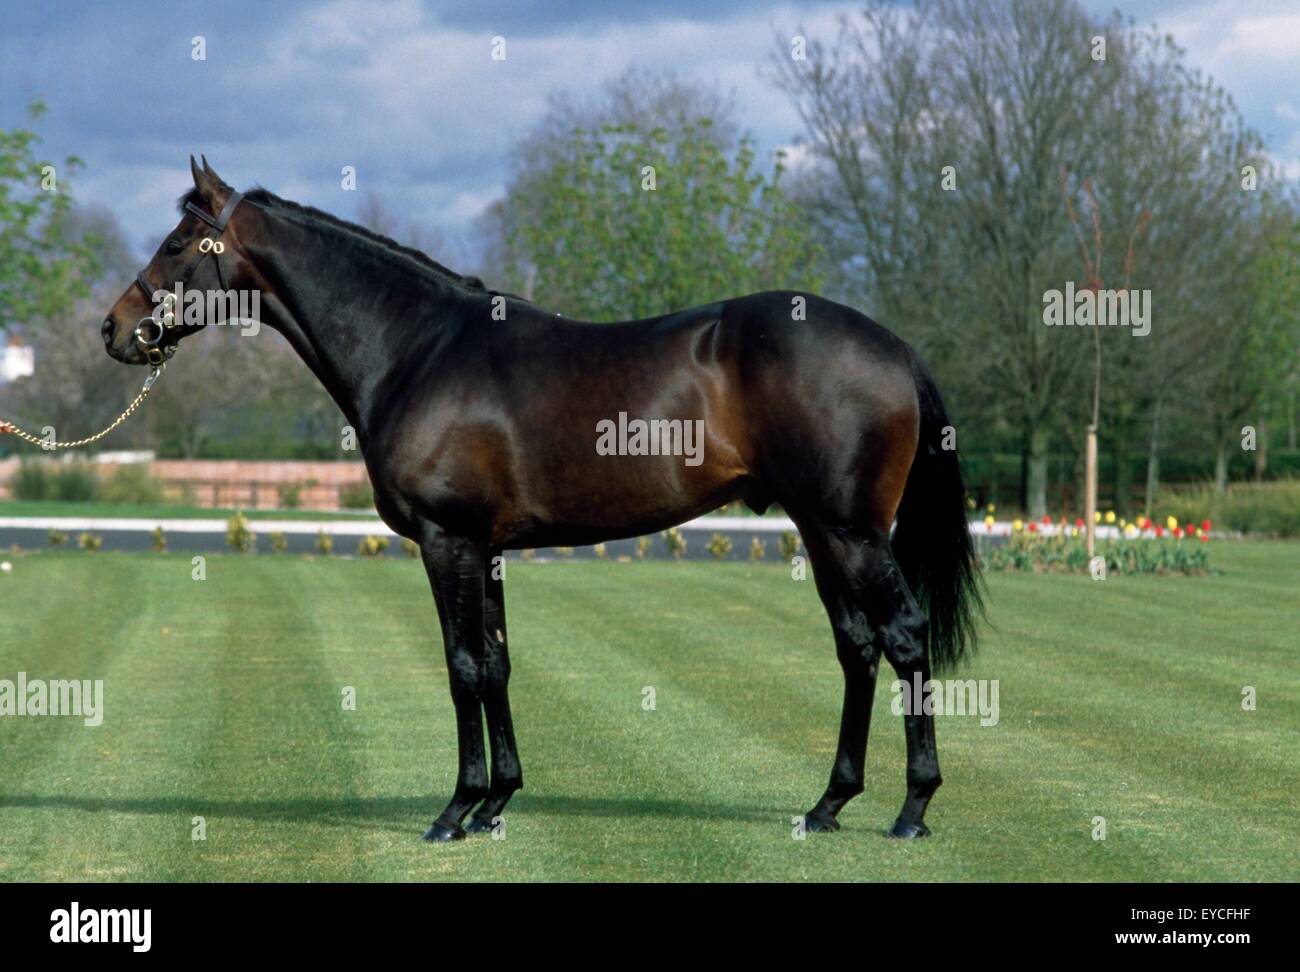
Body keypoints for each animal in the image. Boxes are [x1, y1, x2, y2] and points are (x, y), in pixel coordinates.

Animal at [101, 158, 982, 841]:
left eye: (178, 243)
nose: (114, 329)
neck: (417, 348)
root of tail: (893, 346)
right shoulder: (485, 548)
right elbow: (497, 663)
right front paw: (497, 802)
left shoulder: (448, 540)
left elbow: (461, 665)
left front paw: (454, 811)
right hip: (821, 531)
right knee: (857, 648)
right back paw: (829, 804)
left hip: (853, 532)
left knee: (904, 637)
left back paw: (913, 809)